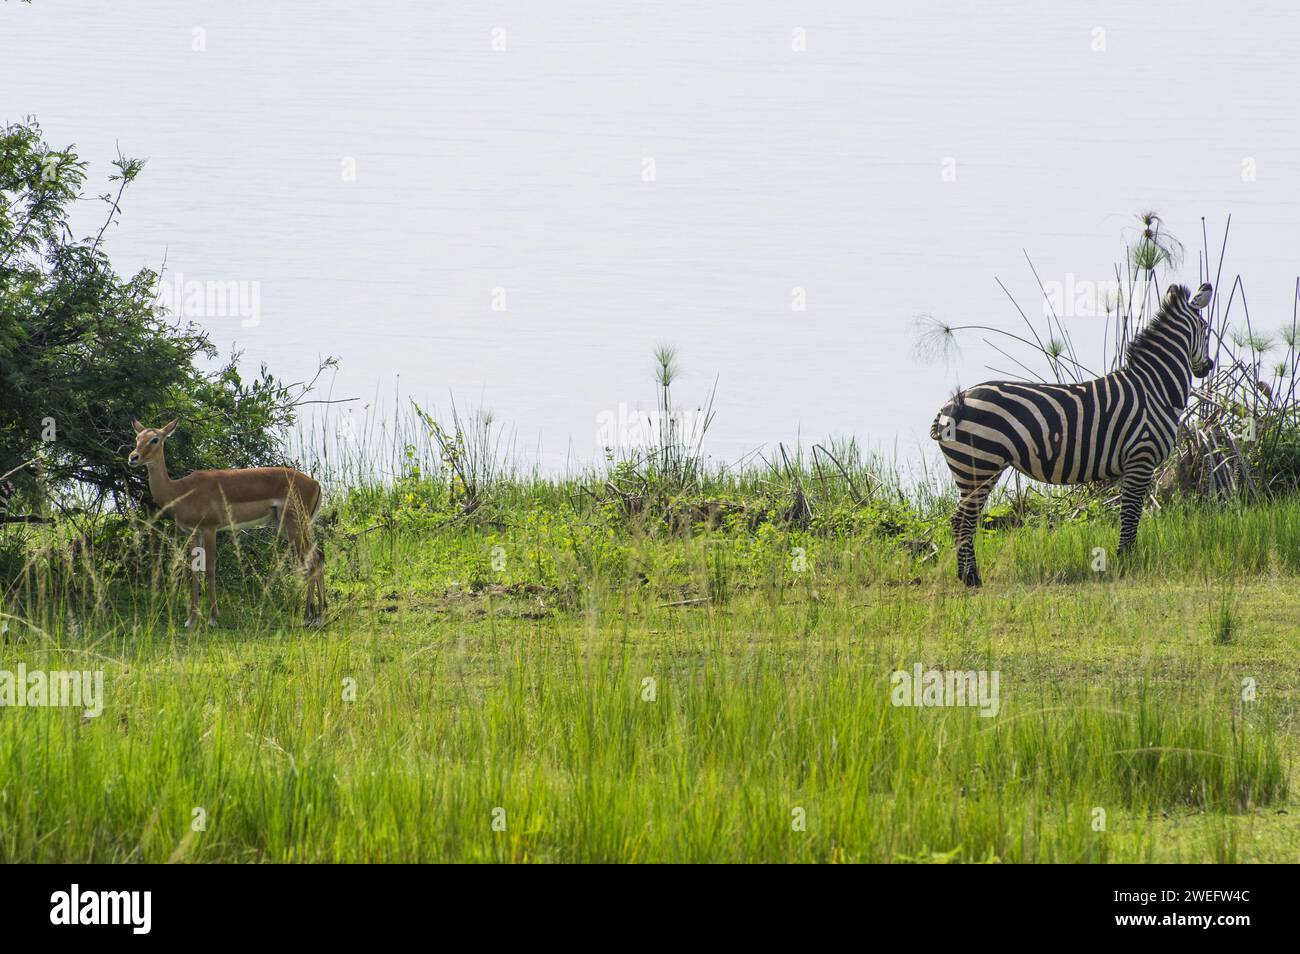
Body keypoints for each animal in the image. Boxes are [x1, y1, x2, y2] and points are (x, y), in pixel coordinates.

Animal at [930, 281, 1214, 586]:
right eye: (1205, 328)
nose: (1208, 367)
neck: (1154, 388)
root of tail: (952, 402)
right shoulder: (1141, 458)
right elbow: (1131, 513)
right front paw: (1127, 559)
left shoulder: (1135, 464)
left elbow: (1129, 513)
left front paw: (1125, 557)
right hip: (979, 465)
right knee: (963, 520)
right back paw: (971, 577)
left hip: (979, 468)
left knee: (960, 520)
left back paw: (965, 575)